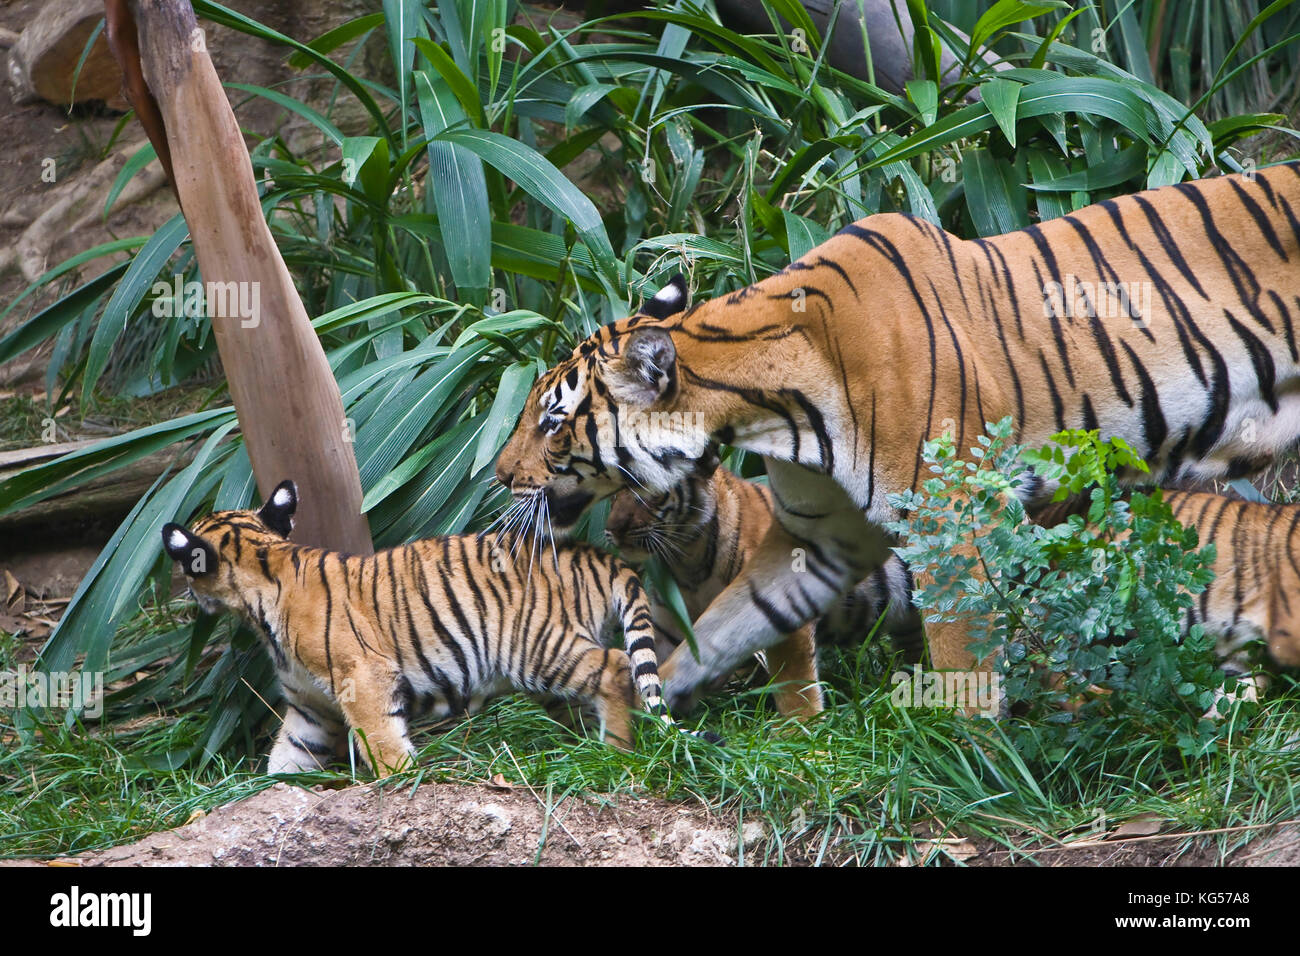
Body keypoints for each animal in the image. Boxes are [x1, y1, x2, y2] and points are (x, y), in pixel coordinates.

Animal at [161, 479, 683, 777]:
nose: (184, 595)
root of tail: (597, 555)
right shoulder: (310, 707)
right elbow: (287, 757)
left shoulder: (363, 677)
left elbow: (380, 740)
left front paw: (400, 779)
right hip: (548, 676)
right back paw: (580, 751)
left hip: (539, 649)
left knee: (616, 668)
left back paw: (616, 752)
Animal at [604, 454, 923, 718]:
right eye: (613, 491)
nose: (613, 529)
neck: (687, 559)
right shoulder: (670, 623)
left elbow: (794, 682)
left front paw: (803, 731)